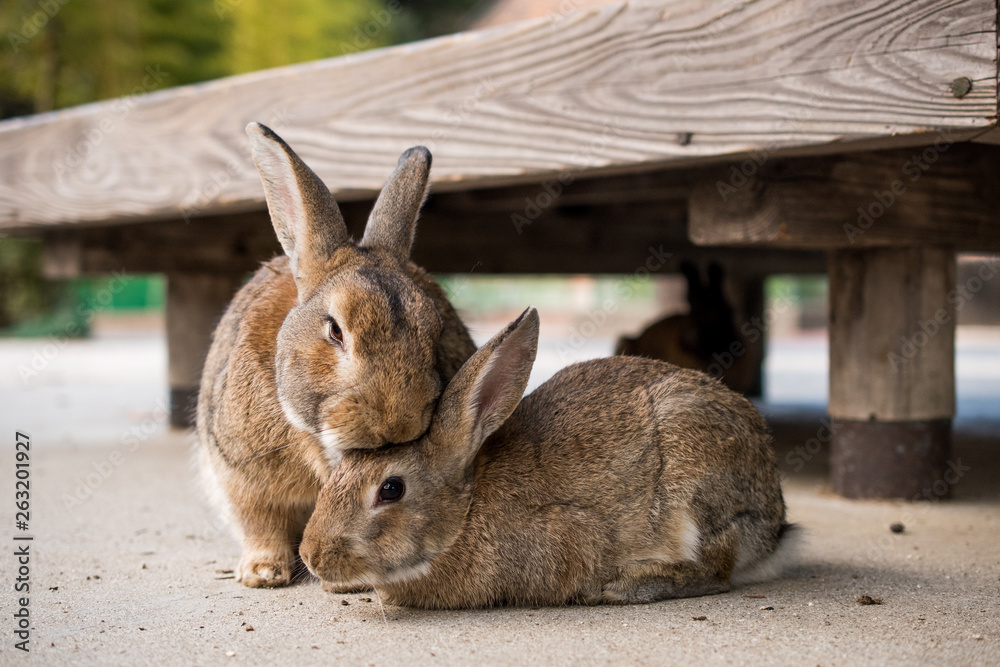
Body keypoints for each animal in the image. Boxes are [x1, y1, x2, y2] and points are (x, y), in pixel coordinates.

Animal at [197, 123, 476, 589]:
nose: (397, 422)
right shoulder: (239, 473)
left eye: (435, 332)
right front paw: (263, 573)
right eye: (335, 331)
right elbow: (260, 521)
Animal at [300, 307, 792, 609]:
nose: (310, 556)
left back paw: (622, 587)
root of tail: (774, 523)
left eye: (391, 489)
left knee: (715, 569)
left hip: (692, 488)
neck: (467, 509)